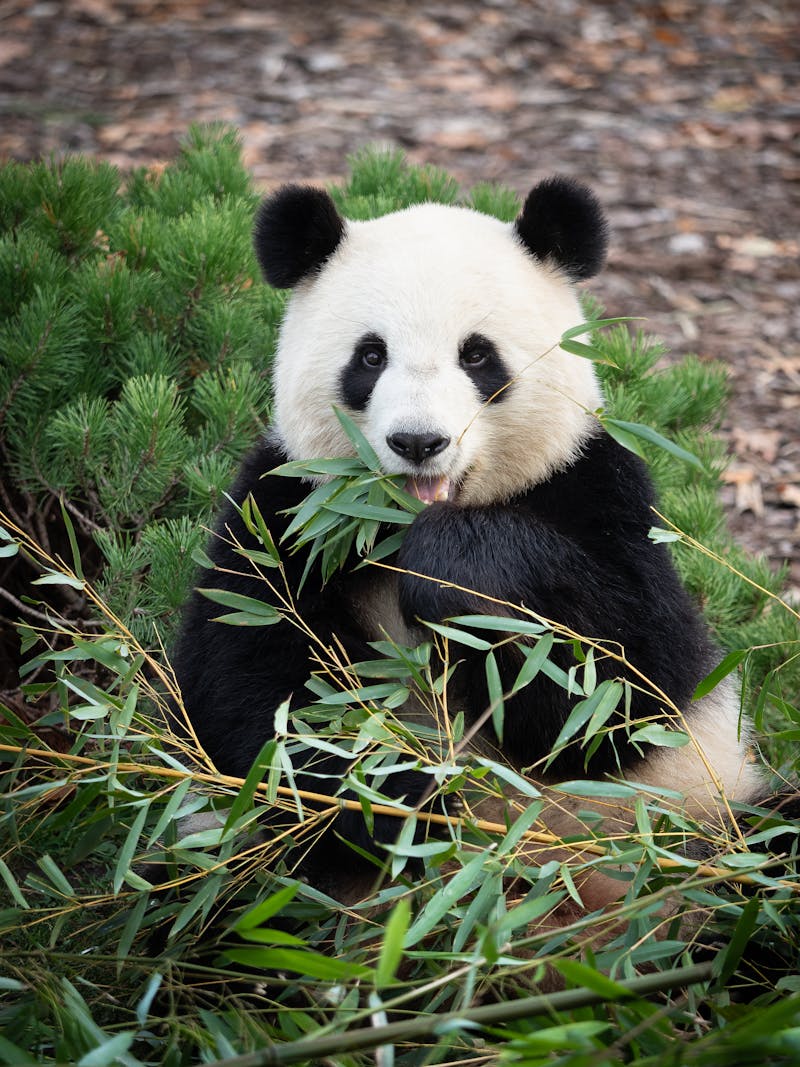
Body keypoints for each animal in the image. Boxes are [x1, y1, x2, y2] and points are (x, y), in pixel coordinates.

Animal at [172, 177, 765, 905]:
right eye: (371, 356)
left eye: (477, 354)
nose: (418, 441)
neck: (394, 526)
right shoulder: (285, 512)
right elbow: (252, 688)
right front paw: (397, 800)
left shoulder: (597, 488)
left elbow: (623, 684)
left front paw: (448, 571)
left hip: (707, 816)